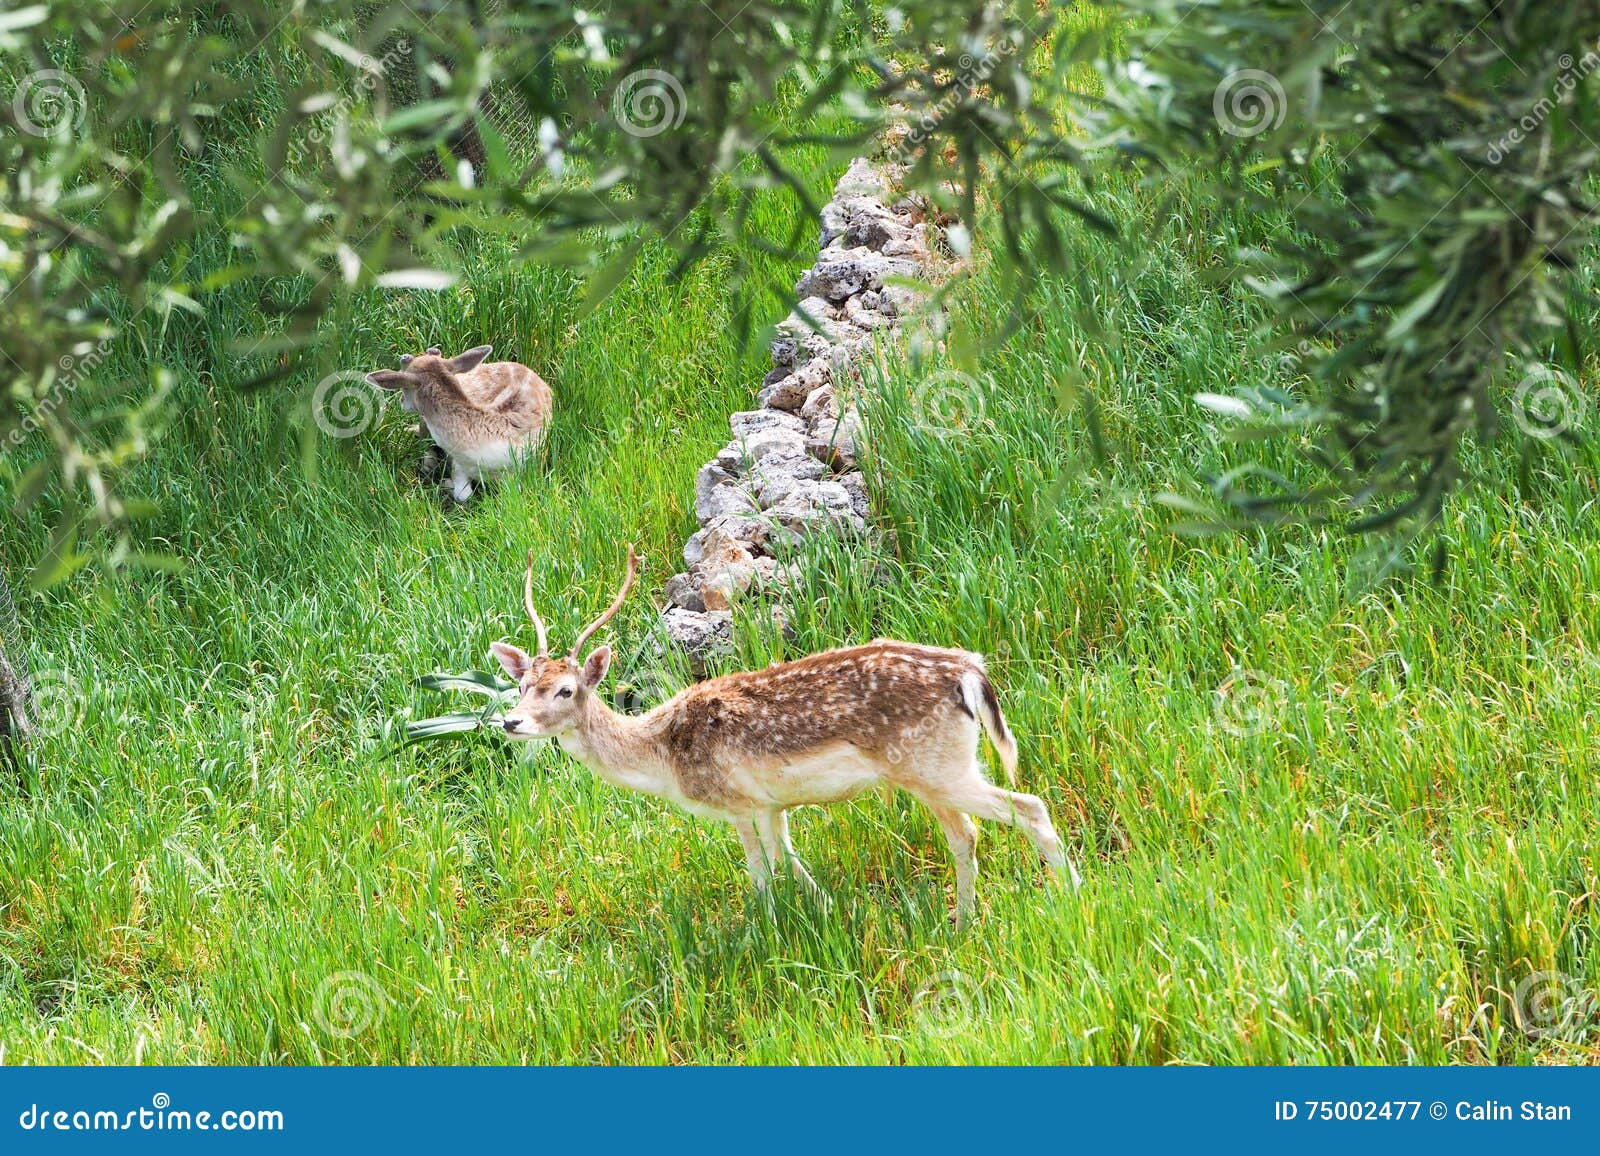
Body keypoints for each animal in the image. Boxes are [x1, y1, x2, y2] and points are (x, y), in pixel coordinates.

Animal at [366, 344, 553, 501]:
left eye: (404, 387)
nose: (401, 402)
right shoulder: (458, 462)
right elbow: (463, 494)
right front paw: (445, 482)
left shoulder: (521, 473)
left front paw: (445, 483)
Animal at [489, 548, 1080, 927]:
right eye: (520, 684)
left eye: (565, 689)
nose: (511, 722)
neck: (665, 757)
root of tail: (970, 671)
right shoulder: (775, 805)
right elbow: (792, 862)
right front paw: (829, 911)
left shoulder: (738, 802)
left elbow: (761, 873)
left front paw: (763, 933)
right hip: (935, 770)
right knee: (967, 836)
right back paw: (963, 922)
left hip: (937, 766)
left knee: (1027, 808)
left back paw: (1070, 898)